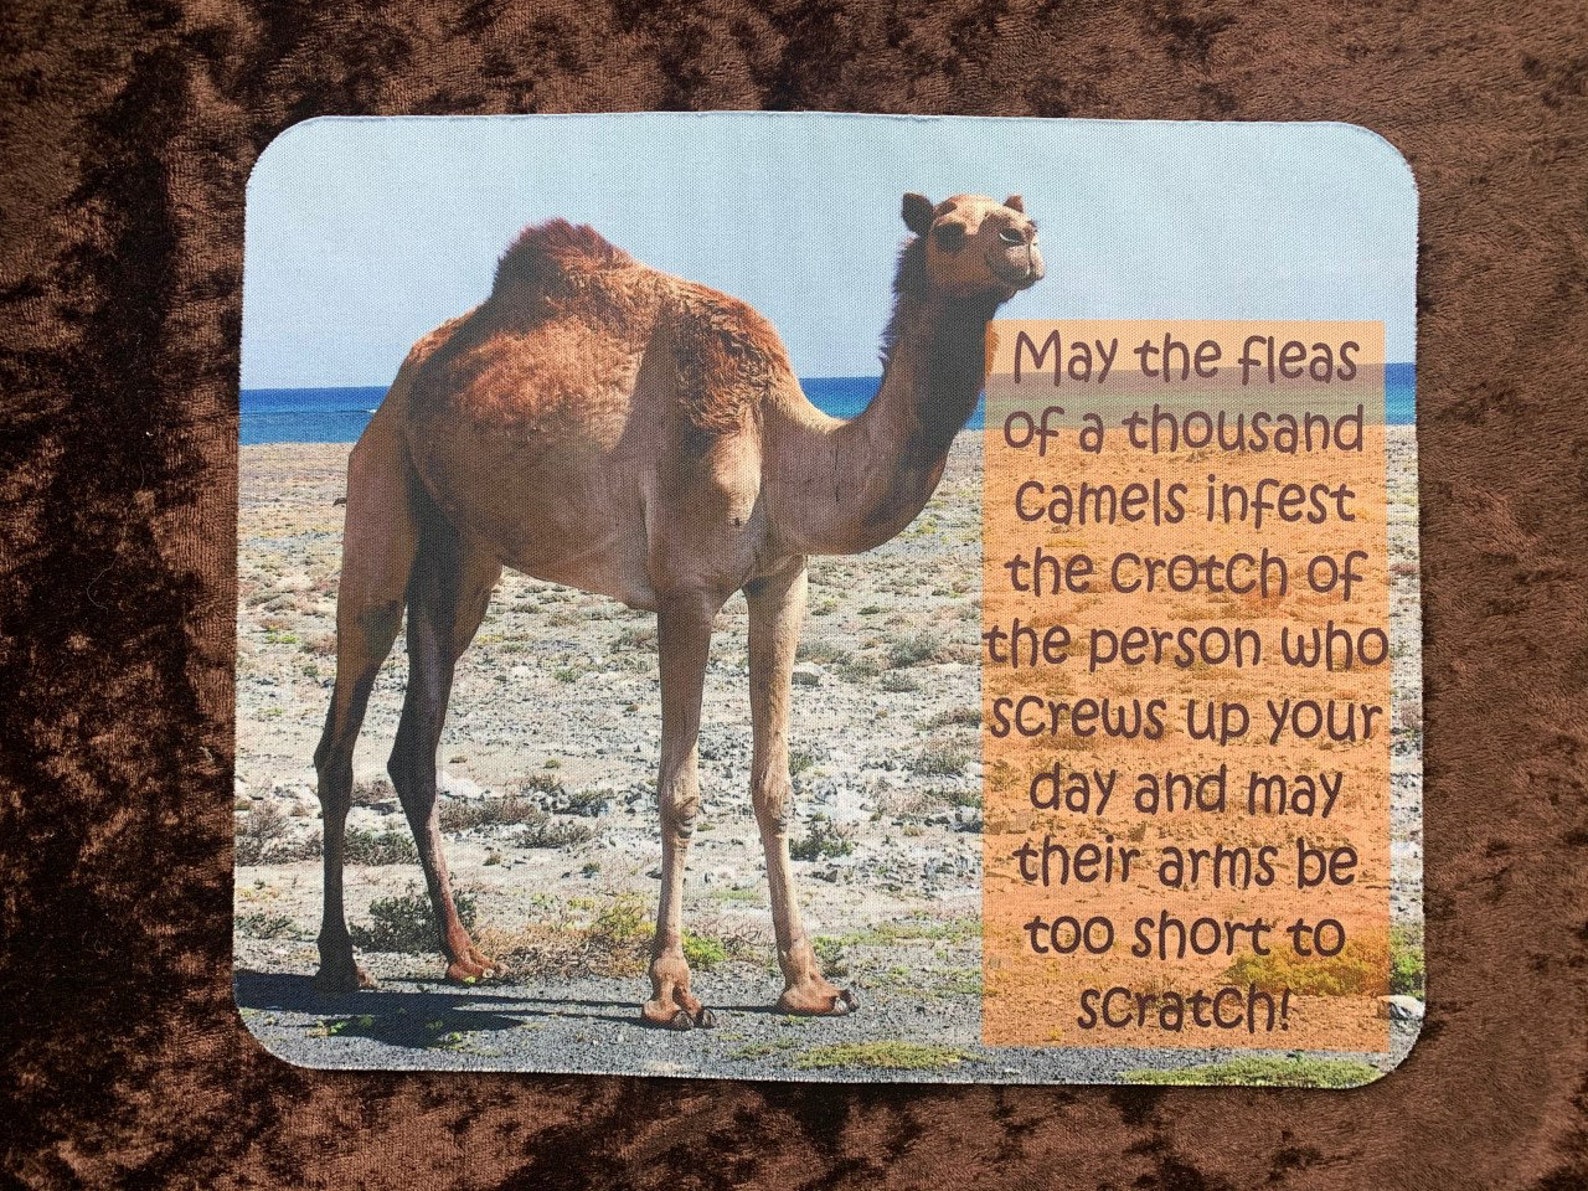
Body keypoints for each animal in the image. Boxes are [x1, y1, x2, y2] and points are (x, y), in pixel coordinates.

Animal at [312, 192, 1043, 1029]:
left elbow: (774, 786)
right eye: (951, 230)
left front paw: (809, 983)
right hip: (382, 485)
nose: (1023, 241)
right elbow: (679, 793)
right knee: (345, 714)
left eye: (1013, 214)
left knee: (416, 744)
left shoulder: (782, 580)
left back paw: (465, 954)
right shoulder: (685, 591)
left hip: (463, 554)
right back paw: (340, 961)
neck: (779, 442)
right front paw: (671, 988)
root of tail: (407, 378)